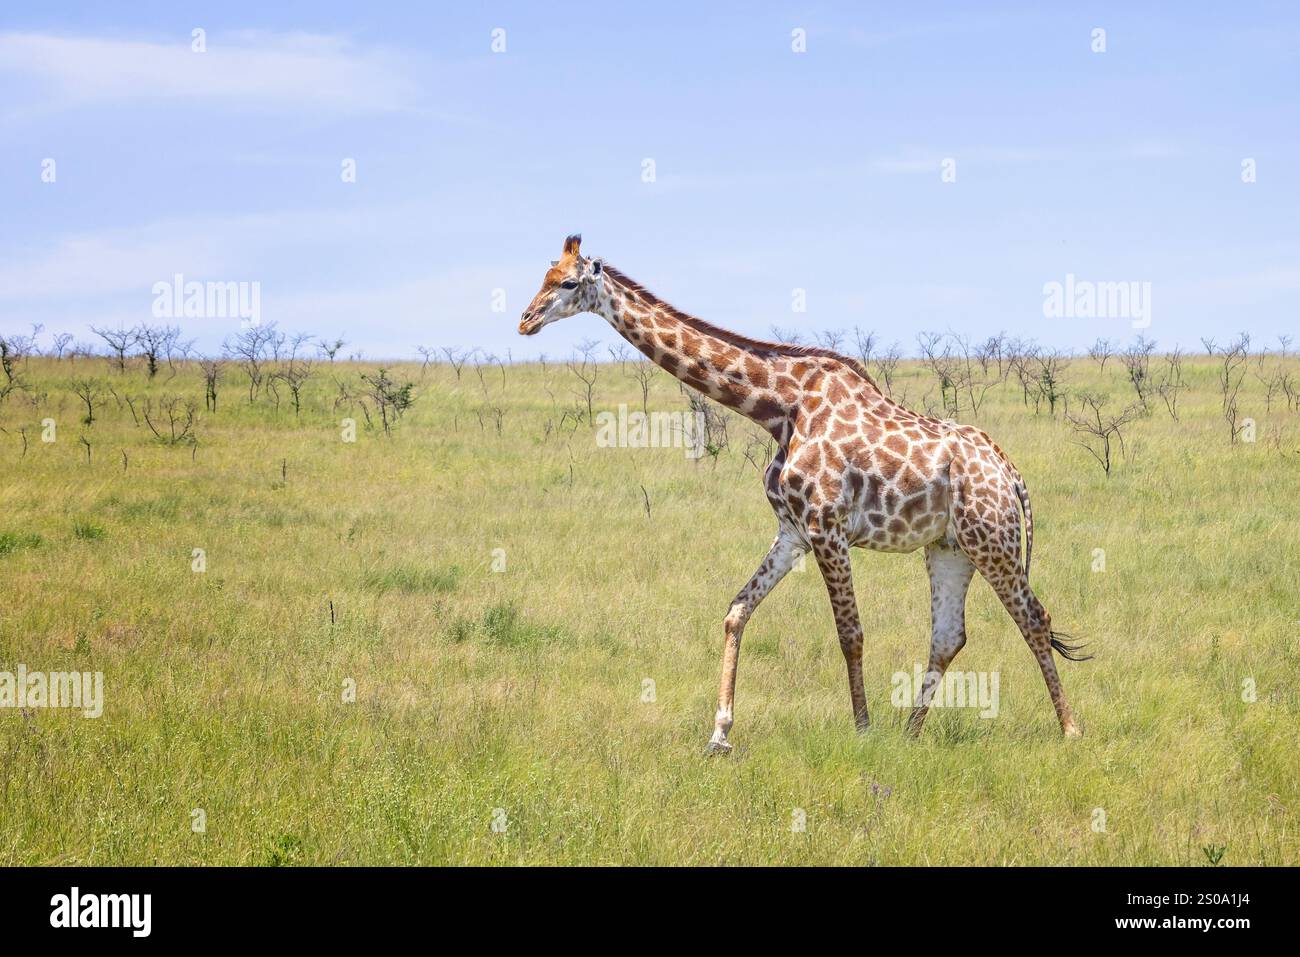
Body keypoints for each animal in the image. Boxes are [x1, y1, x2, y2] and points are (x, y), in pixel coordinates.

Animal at [520, 235, 1089, 751]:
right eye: (545, 274)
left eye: (567, 283)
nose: (525, 321)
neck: (779, 407)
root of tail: (1010, 472)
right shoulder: (791, 531)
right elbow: (736, 611)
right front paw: (720, 734)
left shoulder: (826, 527)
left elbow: (850, 634)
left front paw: (863, 730)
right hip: (950, 548)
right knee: (949, 636)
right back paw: (910, 735)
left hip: (993, 540)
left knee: (1034, 618)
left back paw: (1069, 730)